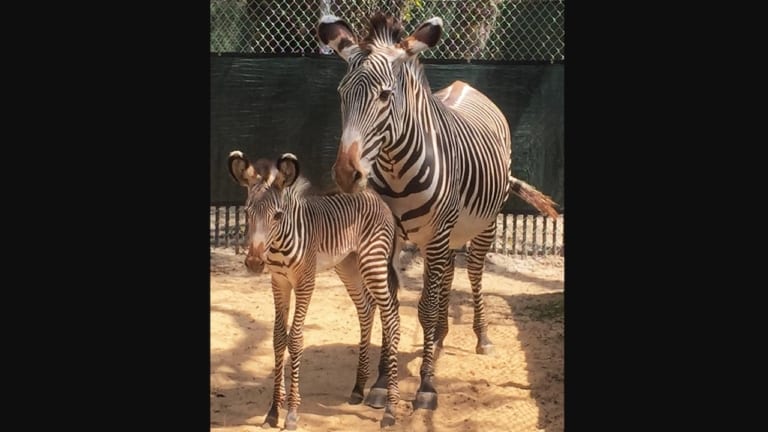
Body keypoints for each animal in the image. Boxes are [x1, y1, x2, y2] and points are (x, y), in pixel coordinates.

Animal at [227, 150, 401, 429]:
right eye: (247, 211)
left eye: (277, 215)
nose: (254, 263)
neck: (279, 244)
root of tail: (374, 195)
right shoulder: (279, 282)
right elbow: (278, 338)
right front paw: (273, 411)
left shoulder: (305, 281)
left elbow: (296, 339)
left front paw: (291, 413)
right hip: (348, 265)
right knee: (366, 309)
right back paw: (358, 388)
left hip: (373, 262)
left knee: (392, 317)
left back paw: (390, 409)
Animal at [316, 12, 558, 411]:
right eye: (341, 94)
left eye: (385, 96)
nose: (346, 174)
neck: (396, 169)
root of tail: (464, 85)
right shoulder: (393, 237)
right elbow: (391, 304)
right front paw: (381, 382)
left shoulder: (437, 232)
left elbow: (424, 308)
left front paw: (426, 386)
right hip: (450, 233)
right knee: (447, 272)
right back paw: (442, 333)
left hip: (480, 225)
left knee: (472, 273)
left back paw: (481, 337)